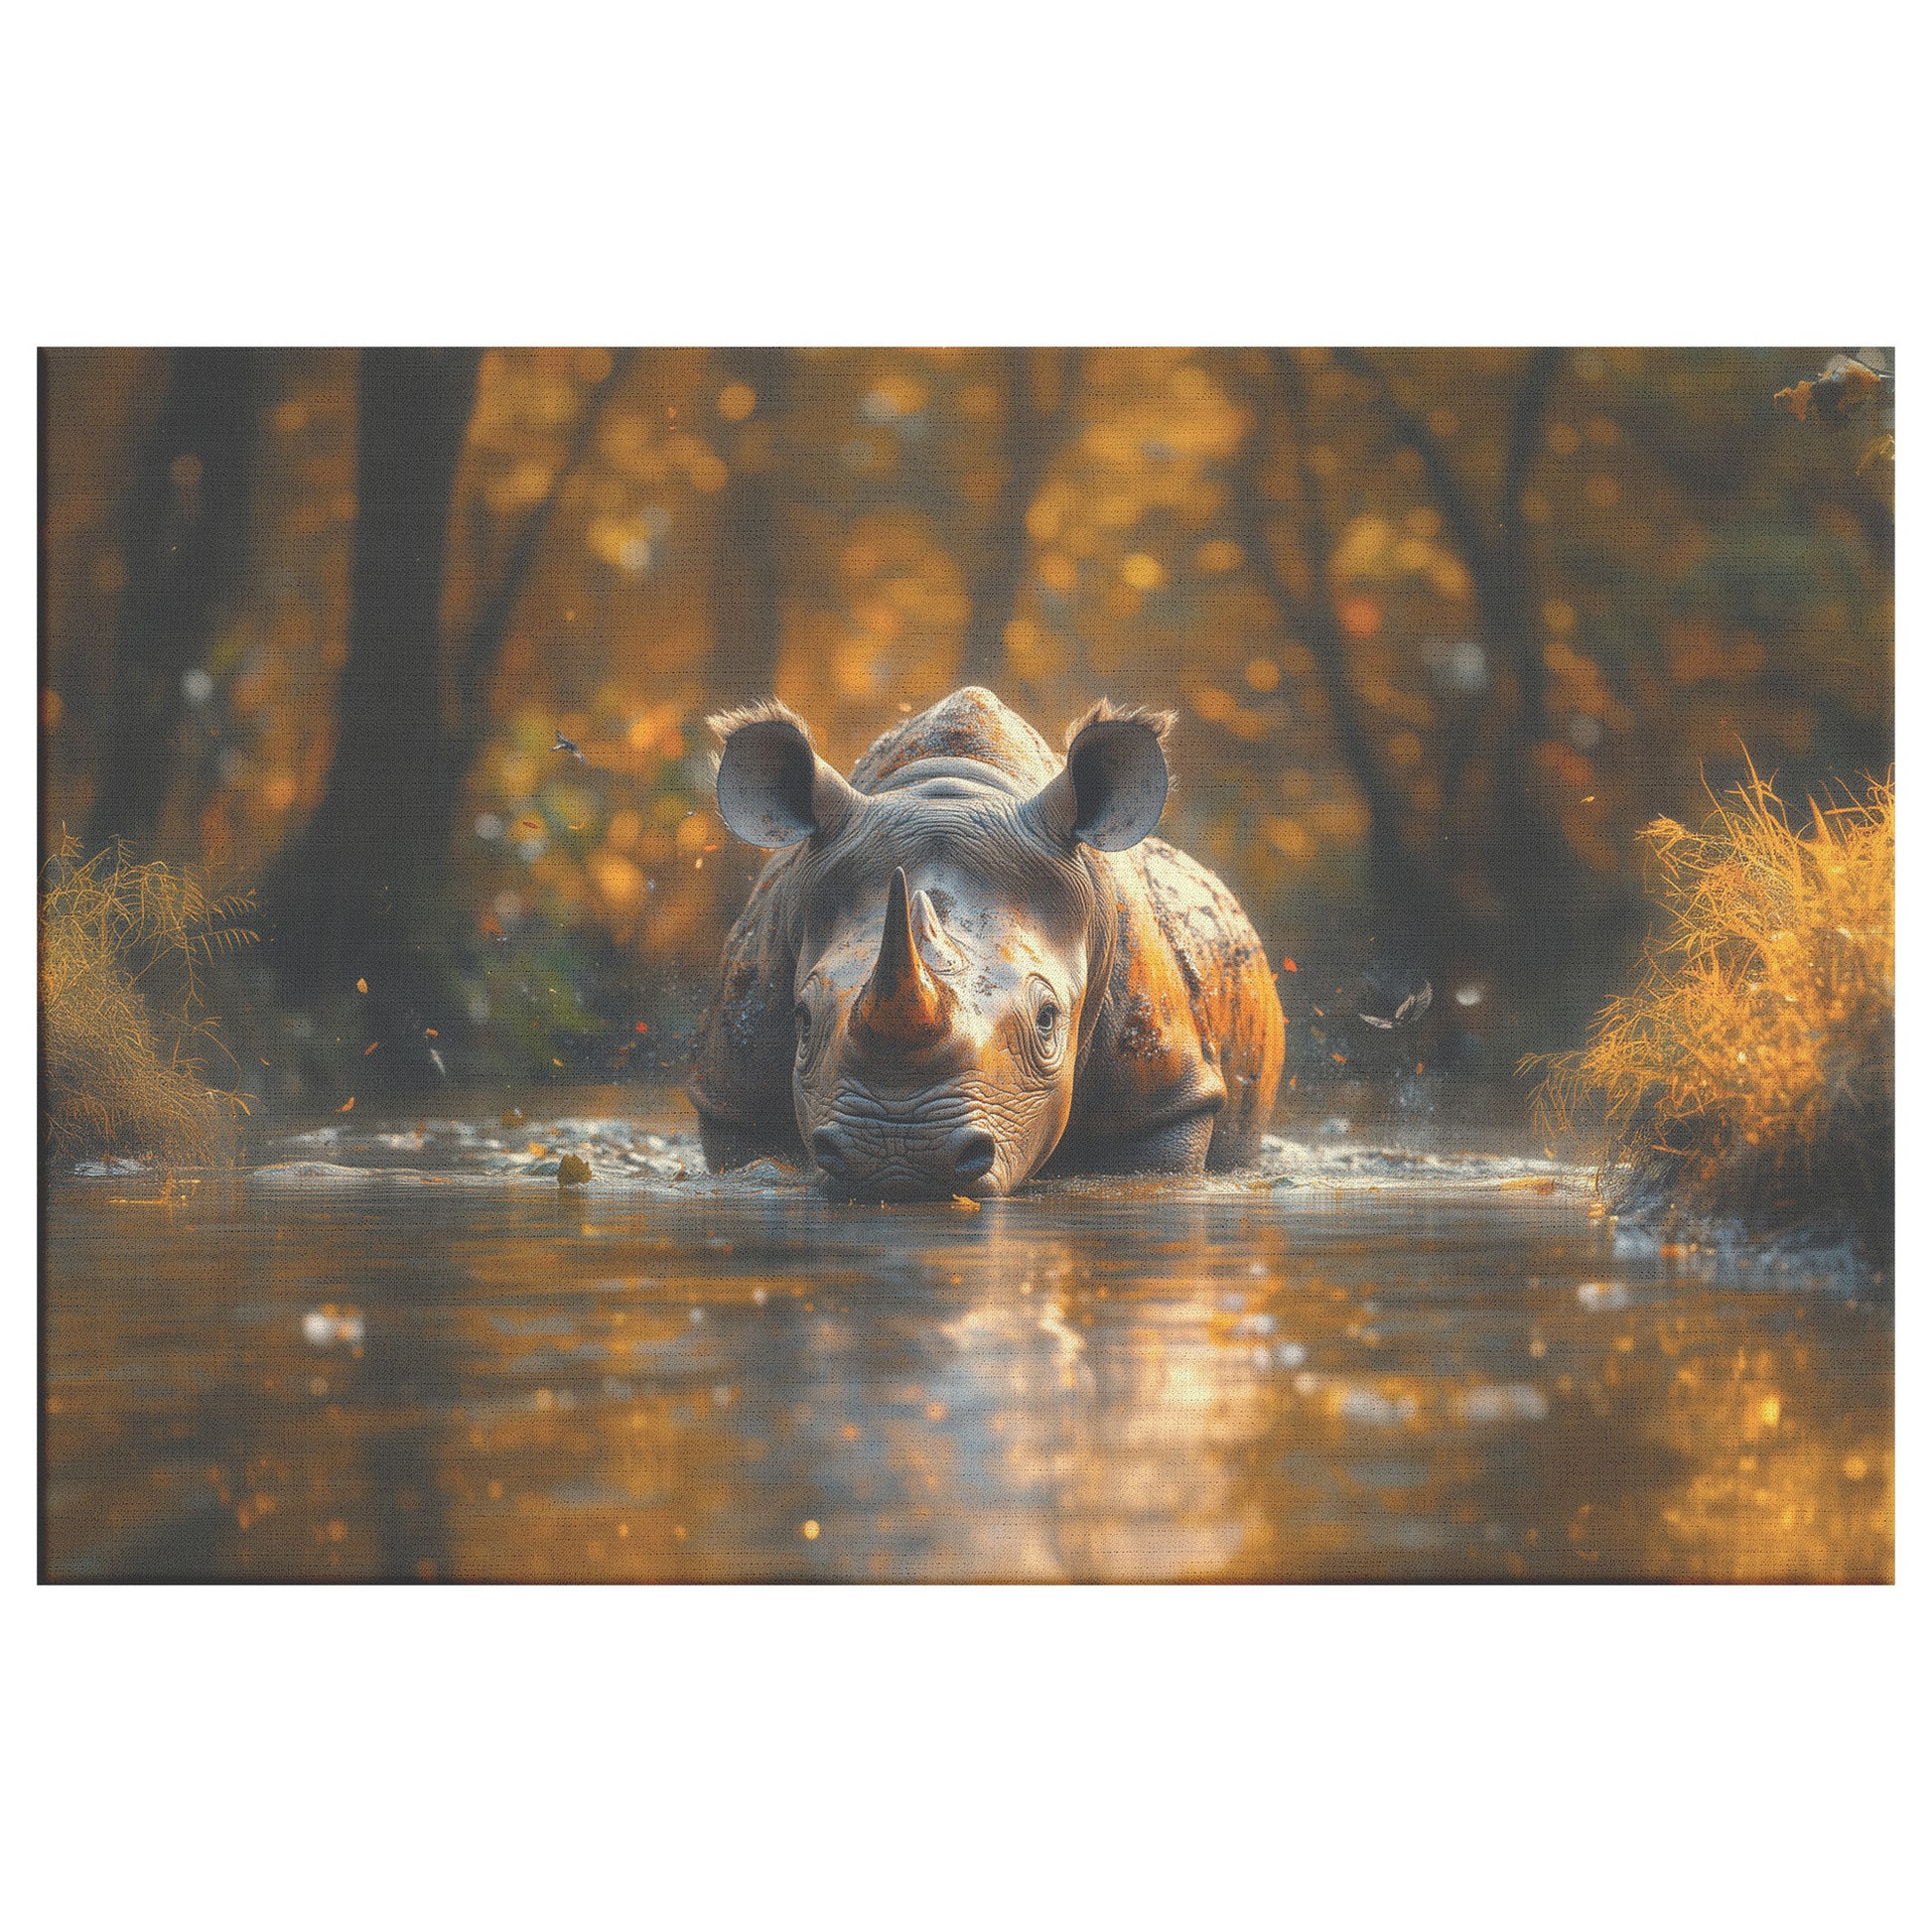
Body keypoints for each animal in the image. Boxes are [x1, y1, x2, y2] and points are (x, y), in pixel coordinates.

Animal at [688, 686, 1286, 1198]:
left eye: (1047, 1019)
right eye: (802, 1018)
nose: (899, 1156)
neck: (953, 784)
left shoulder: (1165, 1100)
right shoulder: (732, 1096)